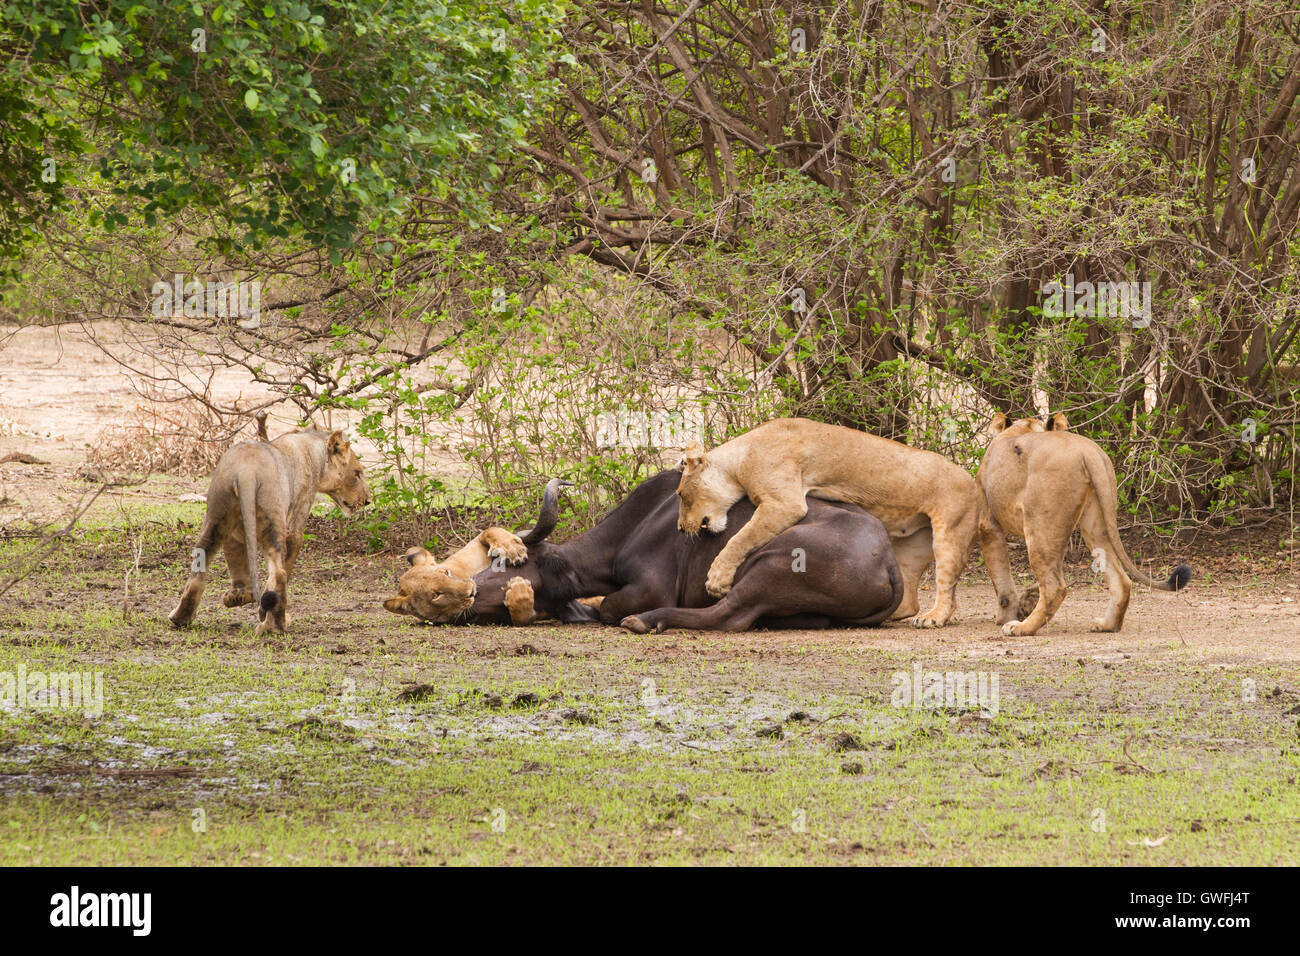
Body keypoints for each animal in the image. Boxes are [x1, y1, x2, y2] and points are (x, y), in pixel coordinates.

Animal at [169, 427, 370, 634]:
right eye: (357, 473)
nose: (367, 500)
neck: (314, 452)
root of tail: (246, 471)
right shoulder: (297, 520)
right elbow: (286, 565)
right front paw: (260, 611)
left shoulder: (235, 531)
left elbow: (237, 560)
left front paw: (240, 597)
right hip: (273, 519)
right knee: (279, 574)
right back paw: (274, 626)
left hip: (216, 515)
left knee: (201, 563)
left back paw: (184, 616)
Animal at [675, 417, 983, 627]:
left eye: (680, 495)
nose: (680, 528)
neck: (739, 459)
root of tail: (973, 478)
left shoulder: (785, 503)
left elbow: (741, 539)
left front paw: (717, 580)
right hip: (911, 546)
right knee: (909, 599)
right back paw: (890, 616)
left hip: (949, 533)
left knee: (947, 587)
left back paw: (934, 618)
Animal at [977, 413, 1192, 636]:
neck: (1021, 429)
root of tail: (1087, 452)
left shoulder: (987, 523)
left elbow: (1001, 578)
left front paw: (1005, 617)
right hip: (1094, 523)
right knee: (1121, 580)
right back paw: (1107, 625)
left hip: (1040, 525)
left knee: (1055, 586)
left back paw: (1021, 627)